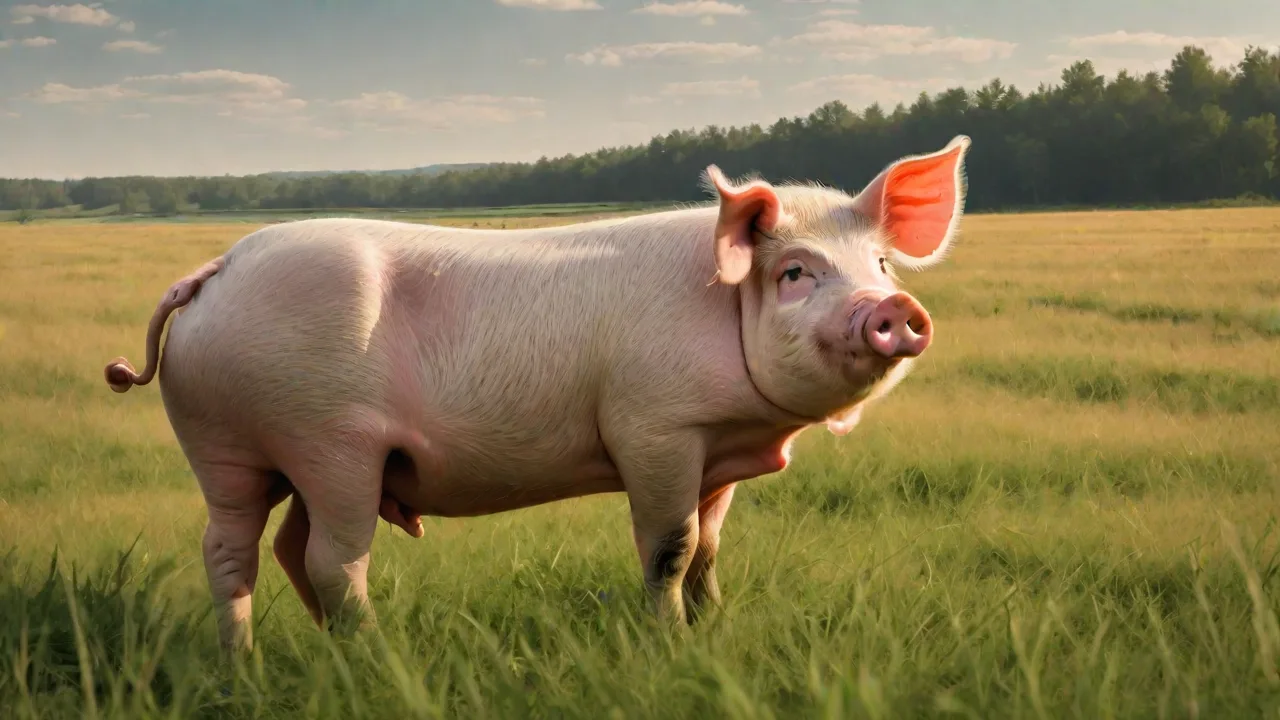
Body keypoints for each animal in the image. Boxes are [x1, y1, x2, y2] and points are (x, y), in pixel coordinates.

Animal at [104, 135, 971, 655]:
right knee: (327, 557)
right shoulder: (654, 427)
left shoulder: (718, 454)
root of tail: (215, 269)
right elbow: (669, 546)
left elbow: (710, 550)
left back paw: (265, 661)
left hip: (237, 453)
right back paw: (374, 656)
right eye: (794, 272)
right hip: (324, 442)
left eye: (881, 264)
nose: (893, 307)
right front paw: (668, 644)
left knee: (244, 550)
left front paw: (713, 627)